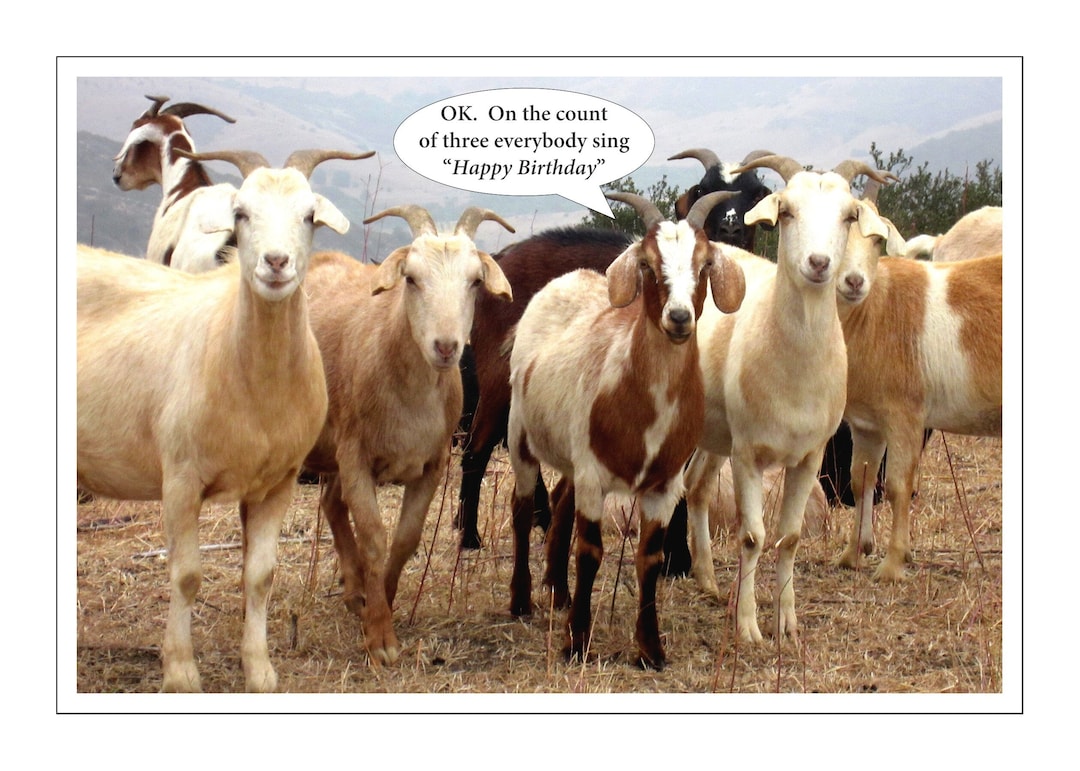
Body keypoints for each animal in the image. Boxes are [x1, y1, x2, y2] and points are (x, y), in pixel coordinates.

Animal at [78, 147, 367, 691]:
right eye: (241, 214)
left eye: (309, 216)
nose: (276, 263)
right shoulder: (180, 478)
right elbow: (186, 574)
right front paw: (181, 671)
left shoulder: (278, 483)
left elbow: (261, 575)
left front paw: (260, 669)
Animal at [301, 207, 513, 665]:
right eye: (411, 278)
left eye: (475, 281)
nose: (446, 346)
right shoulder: (357, 457)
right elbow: (374, 540)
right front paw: (380, 636)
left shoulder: (431, 464)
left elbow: (405, 540)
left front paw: (381, 601)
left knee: (331, 503)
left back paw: (354, 590)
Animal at [506, 190, 746, 669]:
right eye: (648, 265)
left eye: (705, 264)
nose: (679, 317)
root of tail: (567, 280)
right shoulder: (595, 476)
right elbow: (590, 552)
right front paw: (577, 641)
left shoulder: (663, 485)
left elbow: (650, 558)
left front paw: (651, 648)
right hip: (520, 434)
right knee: (522, 509)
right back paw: (521, 600)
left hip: (572, 455)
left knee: (560, 500)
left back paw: (557, 592)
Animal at [683, 154, 894, 643]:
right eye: (787, 211)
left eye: (849, 215)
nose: (818, 263)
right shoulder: (748, 453)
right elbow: (752, 537)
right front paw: (747, 626)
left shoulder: (808, 456)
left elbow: (790, 537)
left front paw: (787, 622)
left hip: (714, 435)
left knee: (696, 487)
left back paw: (706, 580)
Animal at [834, 203, 1002, 581]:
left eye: (877, 240)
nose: (854, 281)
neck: (873, 311)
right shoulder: (867, 423)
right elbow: (861, 480)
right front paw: (852, 554)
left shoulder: (904, 414)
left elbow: (898, 485)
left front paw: (892, 564)